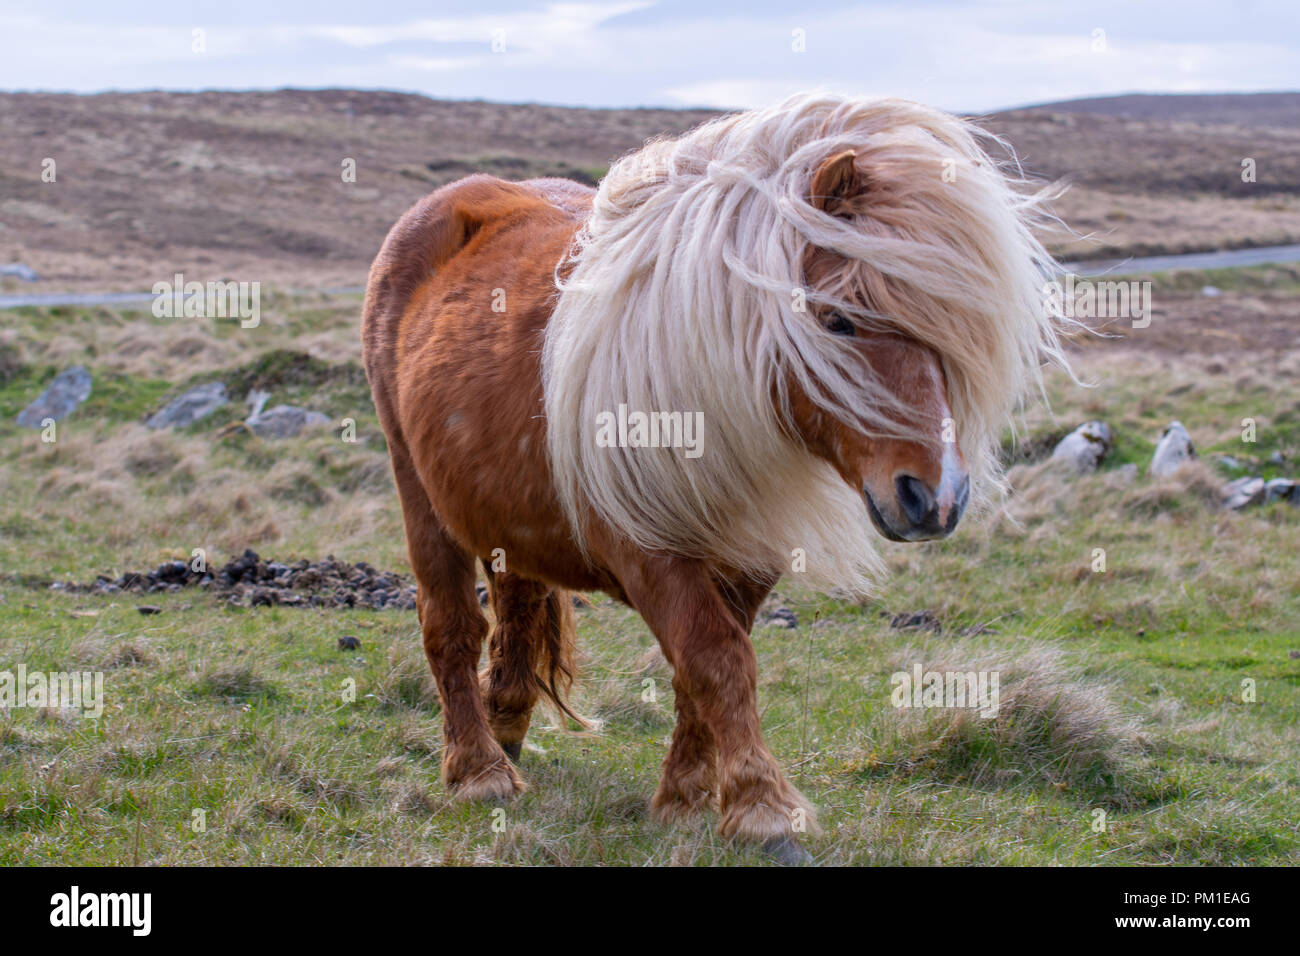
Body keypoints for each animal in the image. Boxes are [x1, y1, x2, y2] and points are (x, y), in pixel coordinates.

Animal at [362, 92, 1070, 856]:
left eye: (948, 330)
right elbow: (715, 658)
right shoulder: (647, 547)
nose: (934, 498)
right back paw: (479, 770)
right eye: (837, 320)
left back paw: (508, 732)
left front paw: (687, 795)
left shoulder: (749, 551)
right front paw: (763, 807)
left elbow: (700, 671)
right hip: (419, 492)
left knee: (517, 608)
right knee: (451, 626)